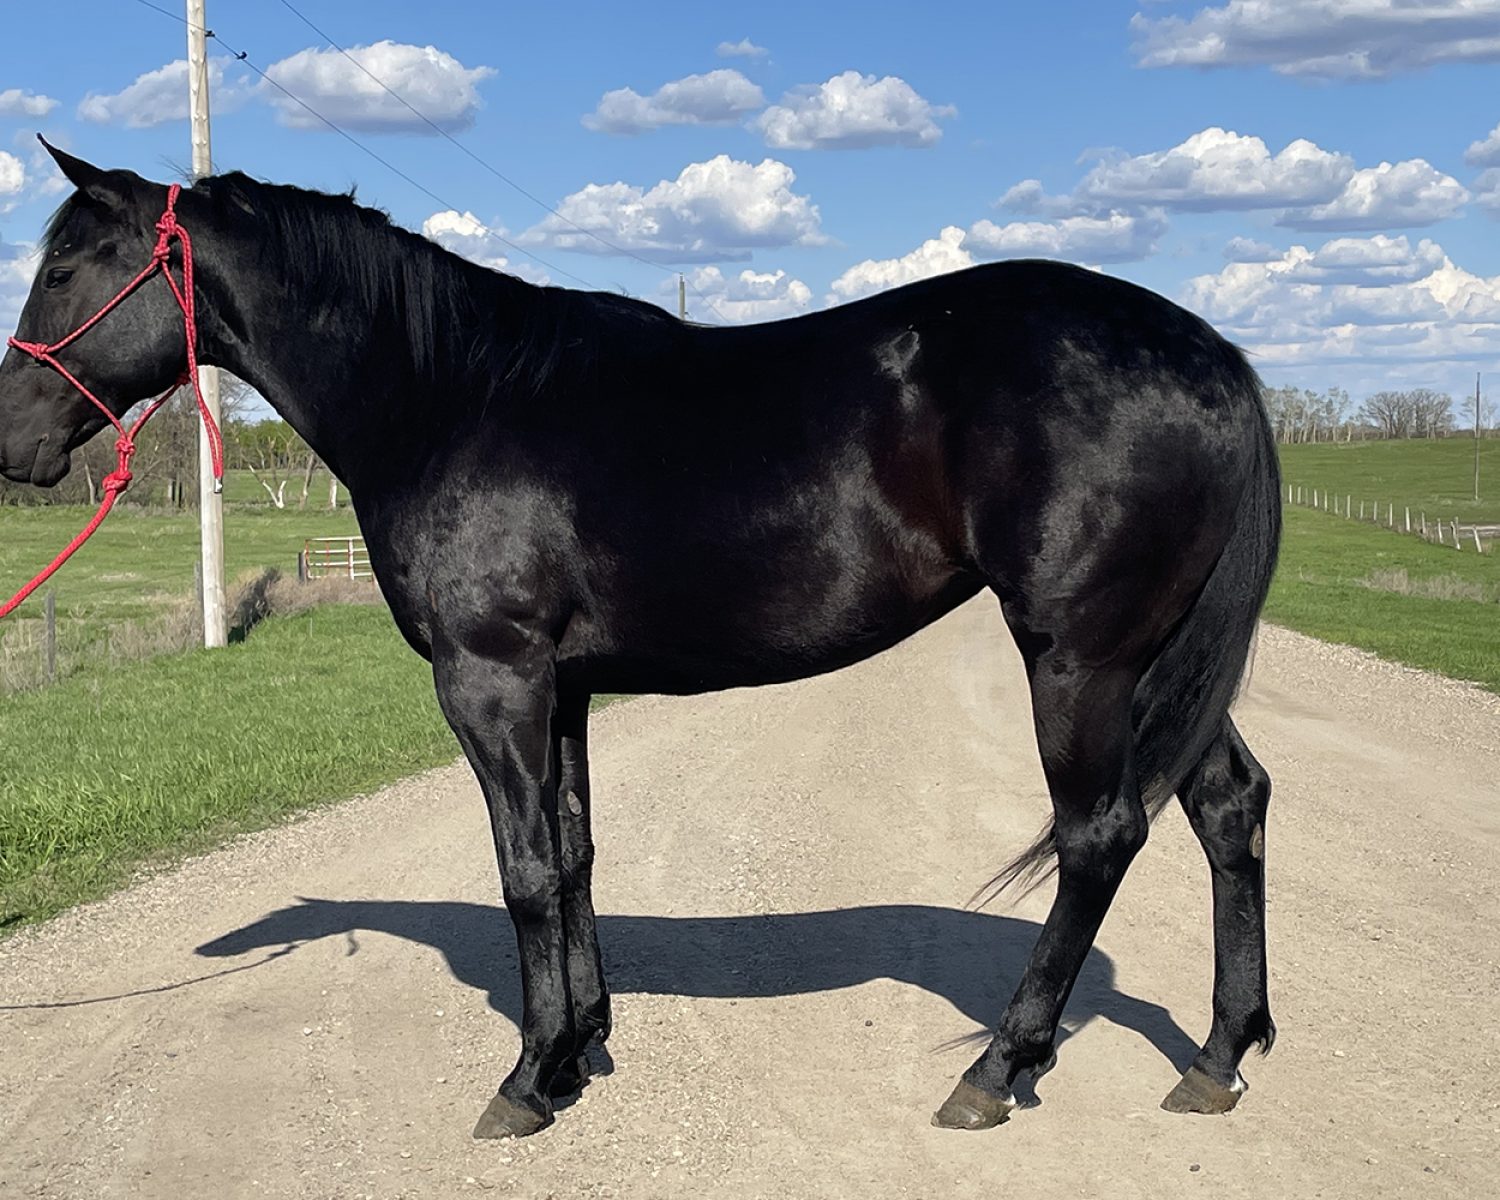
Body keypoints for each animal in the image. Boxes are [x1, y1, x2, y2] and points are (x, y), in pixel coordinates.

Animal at [0, 143, 1281, 1139]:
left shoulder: (493, 678)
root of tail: (1214, 357)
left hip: (1081, 661)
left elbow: (523, 872)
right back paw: (1218, 1057)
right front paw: (582, 1049)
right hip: (1160, 667)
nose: (13, 442)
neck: (451, 395)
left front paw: (527, 1080)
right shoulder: (559, 688)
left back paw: (997, 1069)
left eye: (63, 267)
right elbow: (572, 856)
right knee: (1228, 806)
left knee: (1100, 836)